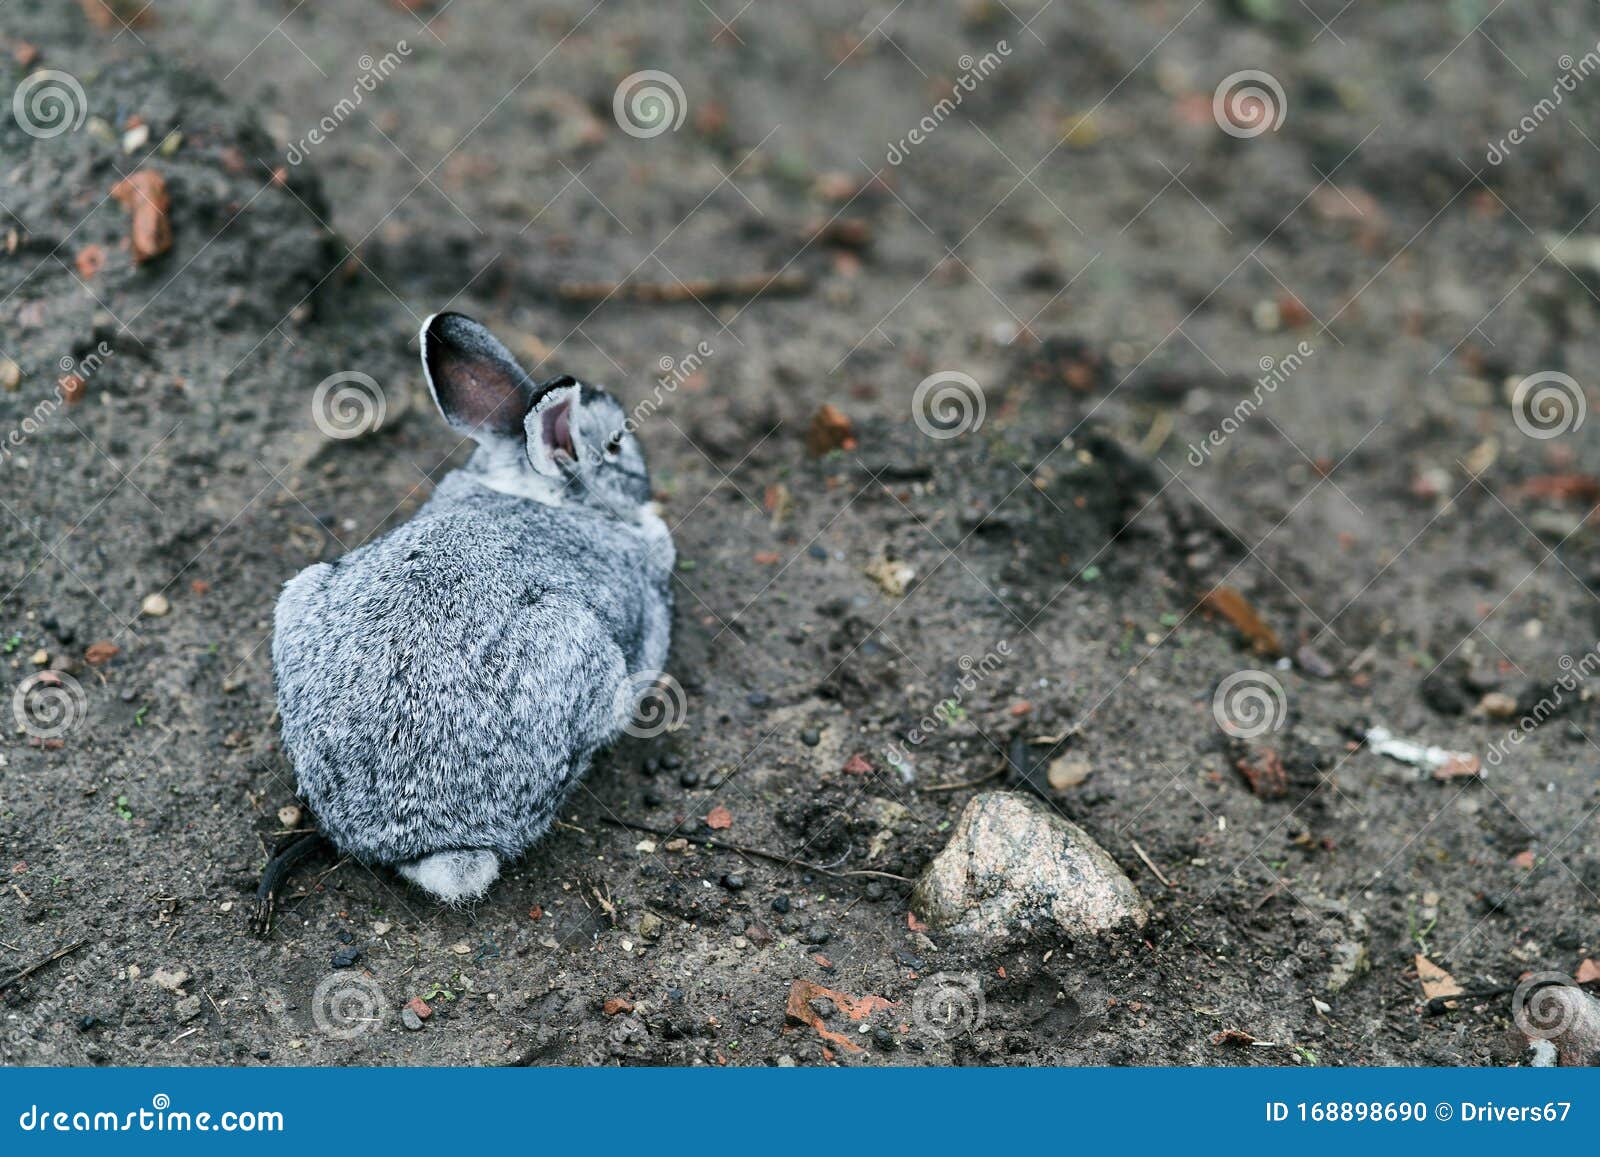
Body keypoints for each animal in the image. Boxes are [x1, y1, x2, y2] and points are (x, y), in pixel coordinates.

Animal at [270, 312, 674, 904]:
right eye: (618, 443)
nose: (647, 479)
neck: (540, 491)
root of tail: (386, 833)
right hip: (579, 651)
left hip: (299, 592)